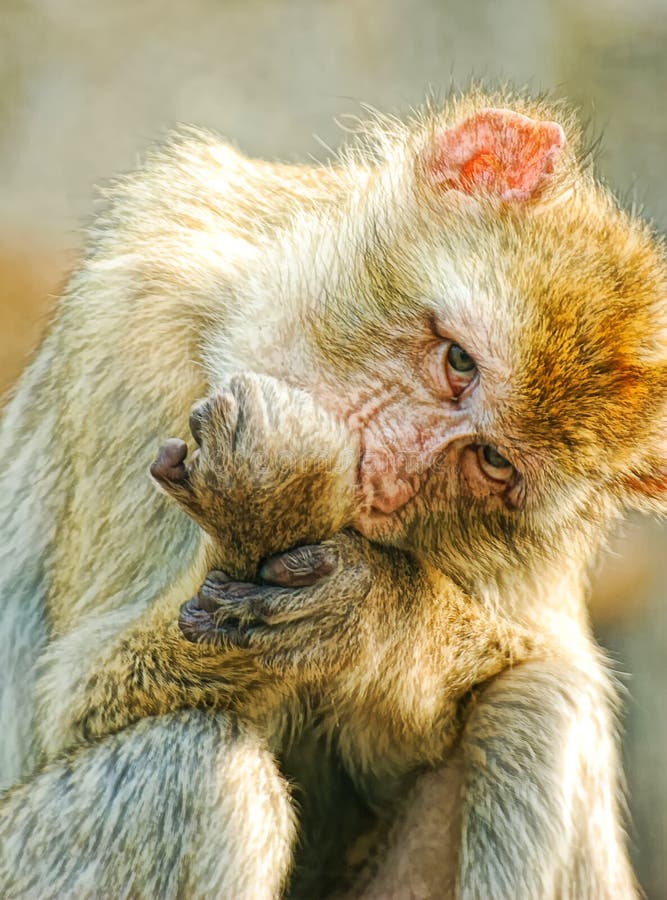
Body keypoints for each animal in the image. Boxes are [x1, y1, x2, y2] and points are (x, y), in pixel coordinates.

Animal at [0, 86, 665, 898]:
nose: (383, 475)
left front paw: (372, 611)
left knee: (542, 703)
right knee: (197, 773)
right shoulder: (136, 328)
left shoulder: (532, 550)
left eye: (491, 461)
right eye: (457, 361)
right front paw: (269, 507)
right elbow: (70, 701)